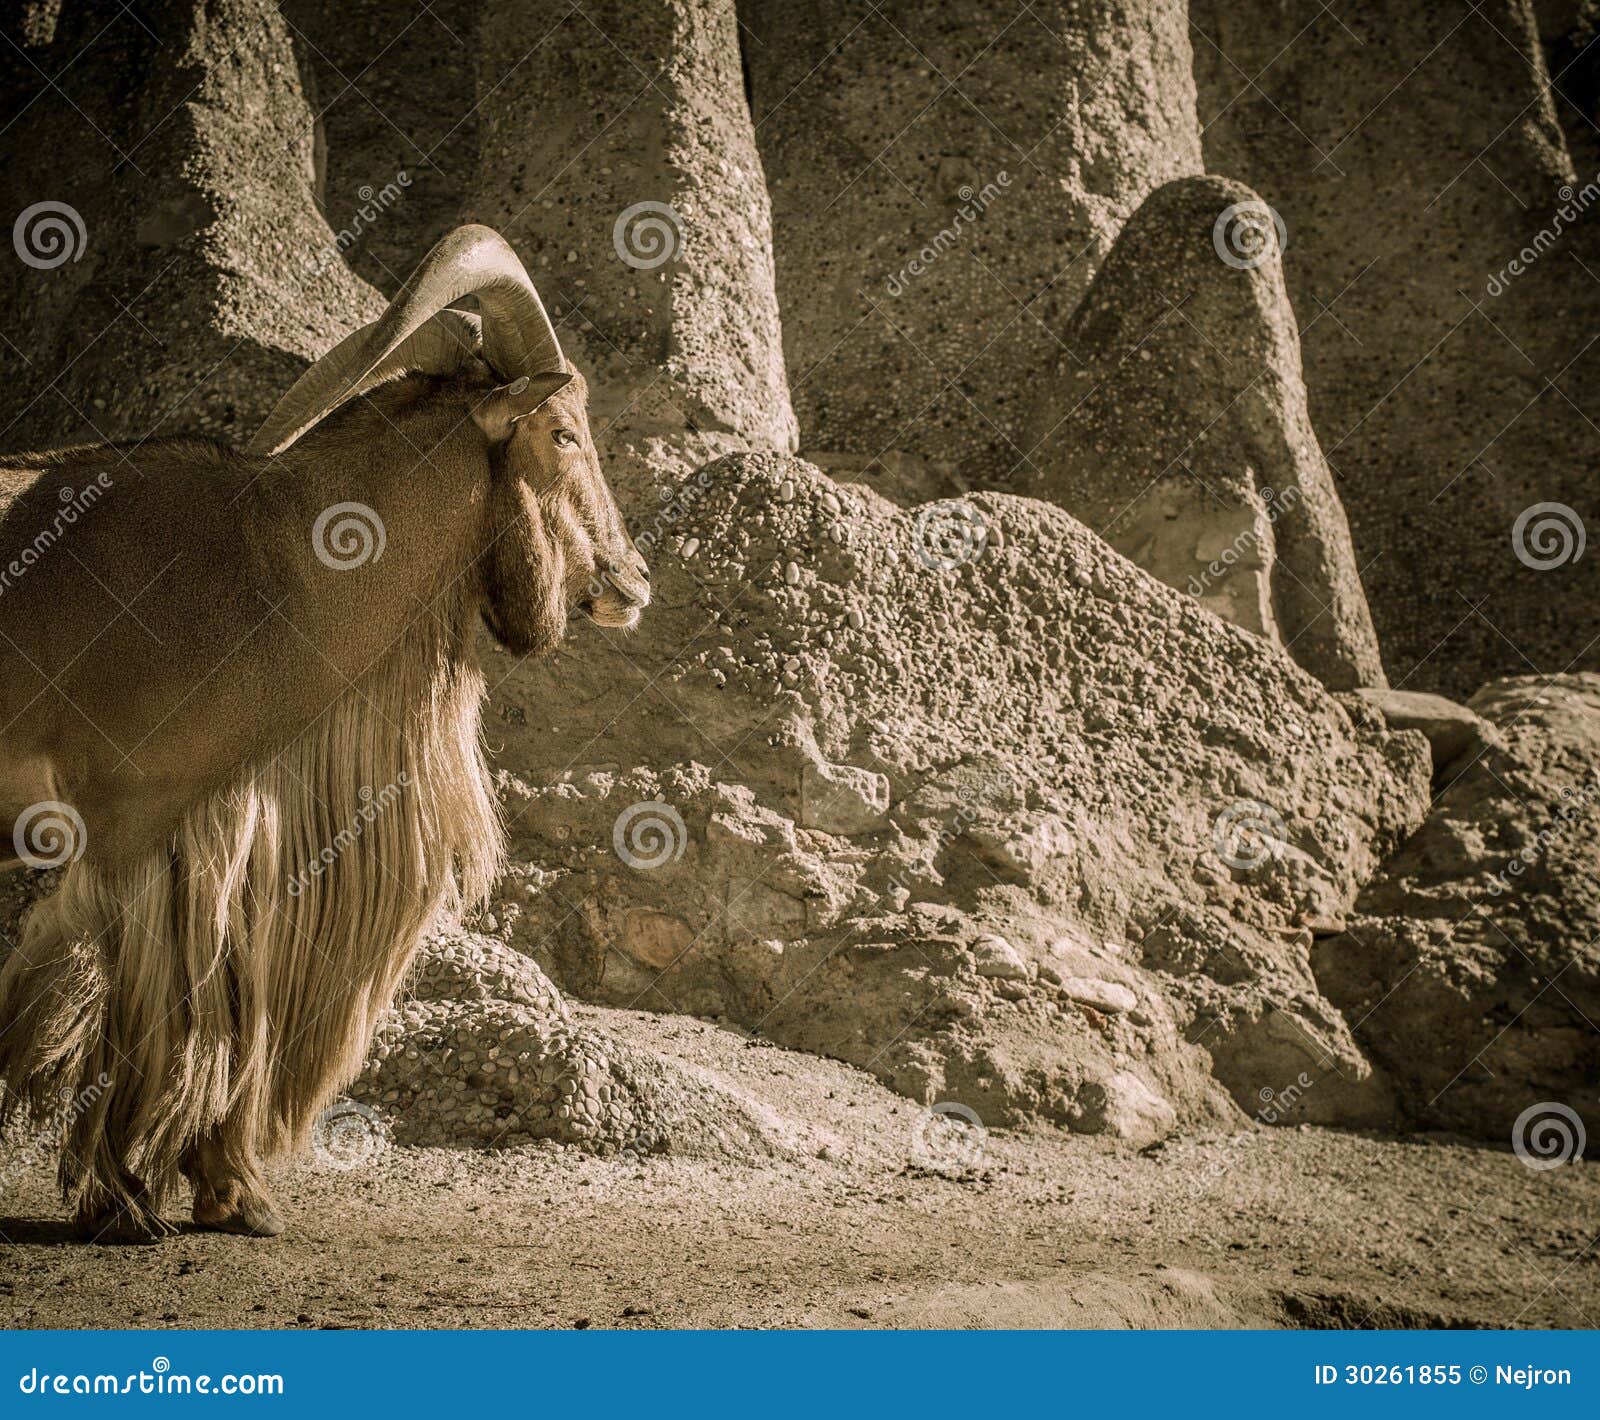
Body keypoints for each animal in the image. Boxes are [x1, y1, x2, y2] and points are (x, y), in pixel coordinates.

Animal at [0, 226, 648, 1241]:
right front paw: (126, 1198)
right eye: (566, 432)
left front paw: (225, 1191)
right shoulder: (133, 828)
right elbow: (135, 1004)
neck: (268, 575)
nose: (632, 578)